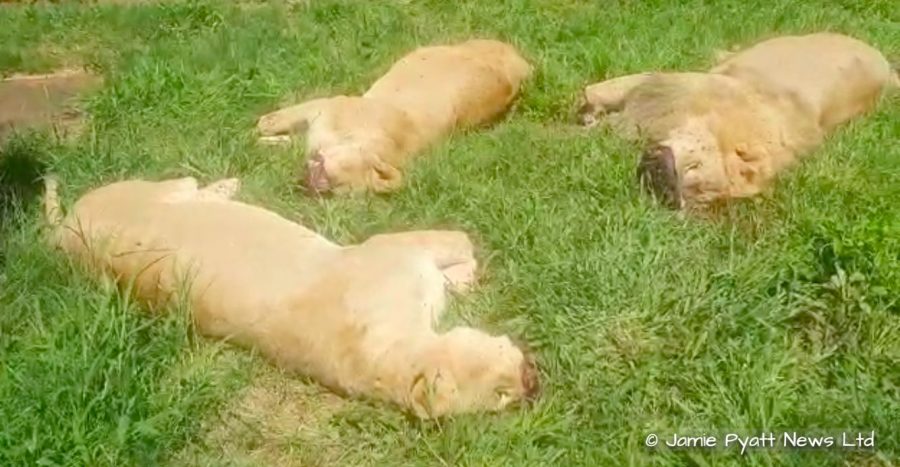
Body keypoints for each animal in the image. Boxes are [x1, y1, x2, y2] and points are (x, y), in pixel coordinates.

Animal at [42, 176, 539, 418]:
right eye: (500, 396)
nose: (532, 384)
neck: (389, 357)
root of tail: (64, 228)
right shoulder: (397, 250)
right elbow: (458, 244)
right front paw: (471, 264)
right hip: (157, 190)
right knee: (184, 182)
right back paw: (226, 185)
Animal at [257, 39, 532, 195]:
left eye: (334, 190)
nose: (313, 185)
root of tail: (520, 60)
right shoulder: (327, 106)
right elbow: (274, 123)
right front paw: (262, 130)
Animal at [577, 32, 897, 209]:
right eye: (693, 167)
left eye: (700, 193)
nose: (666, 188)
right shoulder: (672, 87)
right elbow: (602, 94)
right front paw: (585, 117)